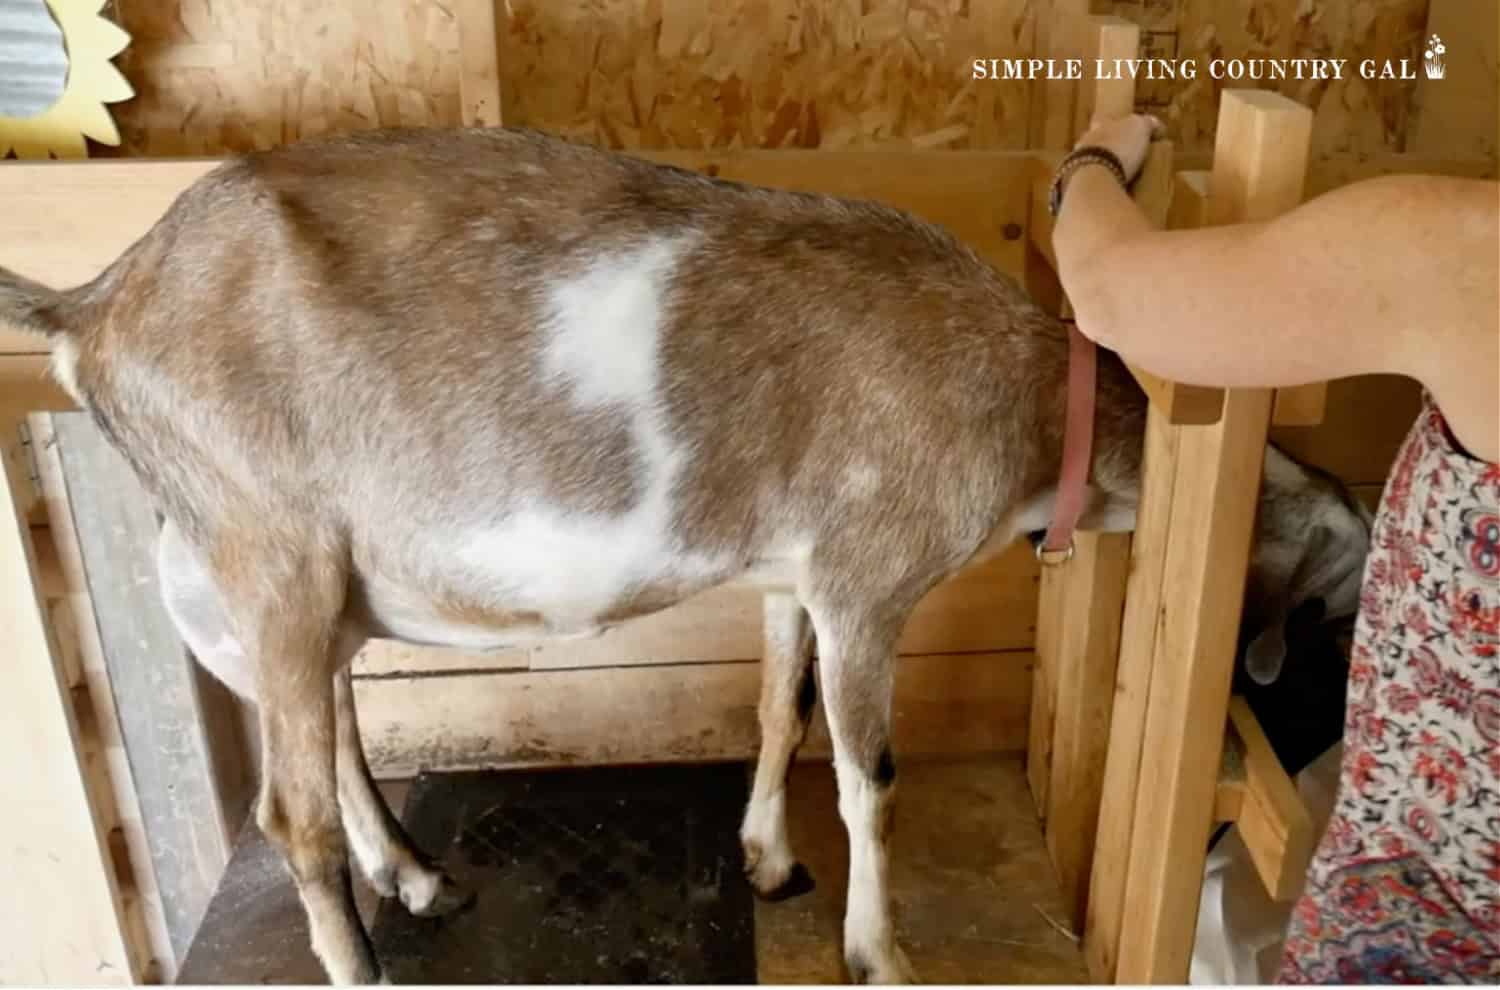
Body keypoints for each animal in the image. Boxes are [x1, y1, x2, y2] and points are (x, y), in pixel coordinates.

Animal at [0, 126, 1369, 984]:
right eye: (1342, 592)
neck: (1030, 400)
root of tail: (95, 305)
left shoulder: (789, 571)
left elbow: (778, 711)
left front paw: (768, 860)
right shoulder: (867, 576)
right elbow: (870, 770)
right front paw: (885, 953)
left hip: (302, 575)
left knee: (328, 731)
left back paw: (419, 878)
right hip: (268, 546)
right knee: (289, 813)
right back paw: (369, 962)